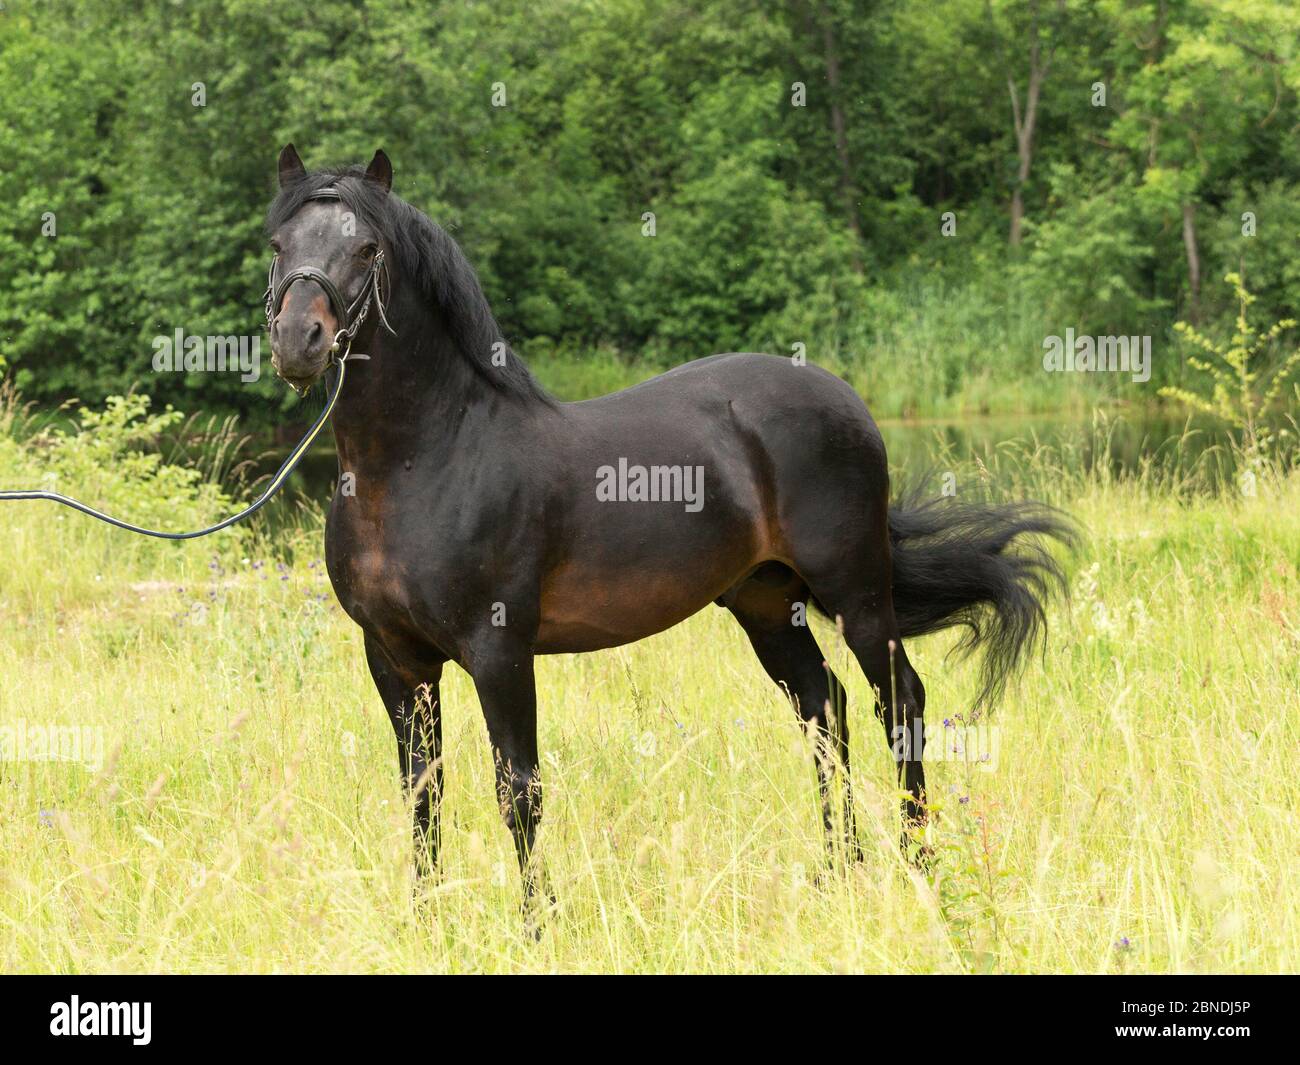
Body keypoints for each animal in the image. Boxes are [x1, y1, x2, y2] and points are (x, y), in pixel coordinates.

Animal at [265, 144, 1073, 903]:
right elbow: (422, 790)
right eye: (277, 242)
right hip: (767, 603)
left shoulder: (498, 649)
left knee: (898, 699)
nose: (299, 340)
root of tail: (845, 397)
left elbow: (518, 790)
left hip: (857, 592)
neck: (422, 462)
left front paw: (537, 923)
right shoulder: (395, 657)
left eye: (368, 250)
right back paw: (840, 868)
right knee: (826, 708)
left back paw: (917, 862)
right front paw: (428, 916)